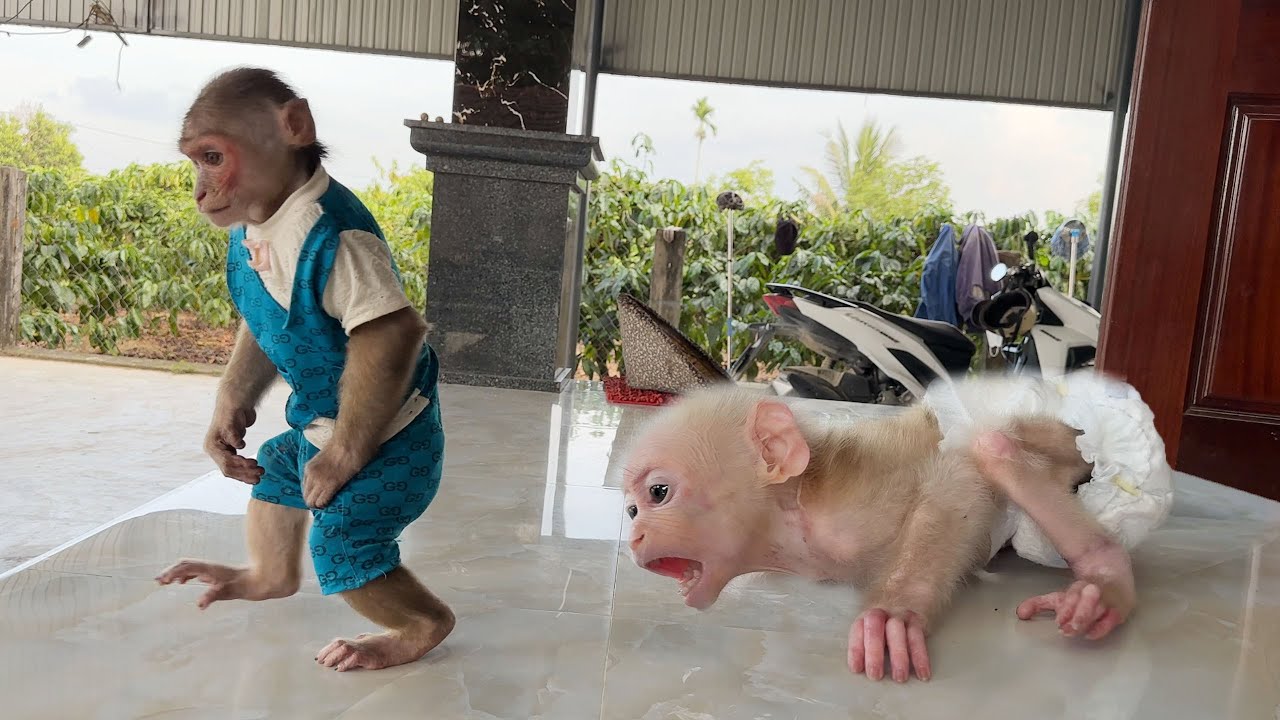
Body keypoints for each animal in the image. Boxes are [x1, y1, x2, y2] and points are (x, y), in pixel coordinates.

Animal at [154, 67, 453, 672]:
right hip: (289, 455)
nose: (199, 191)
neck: (277, 216)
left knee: (343, 543)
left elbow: (388, 331)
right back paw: (261, 580)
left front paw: (338, 461)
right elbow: (257, 344)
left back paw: (417, 632)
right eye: (194, 160)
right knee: (275, 476)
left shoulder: (347, 250)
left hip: (390, 475)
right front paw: (224, 428)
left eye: (213, 157)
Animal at [621, 380, 1170, 683]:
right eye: (630, 509)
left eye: (658, 493)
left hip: (1080, 434)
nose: (634, 538)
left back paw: (1104, 573)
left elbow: (960, 477)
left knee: (991, 444)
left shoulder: (845, 513)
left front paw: (895, 612)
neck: (788, 525)